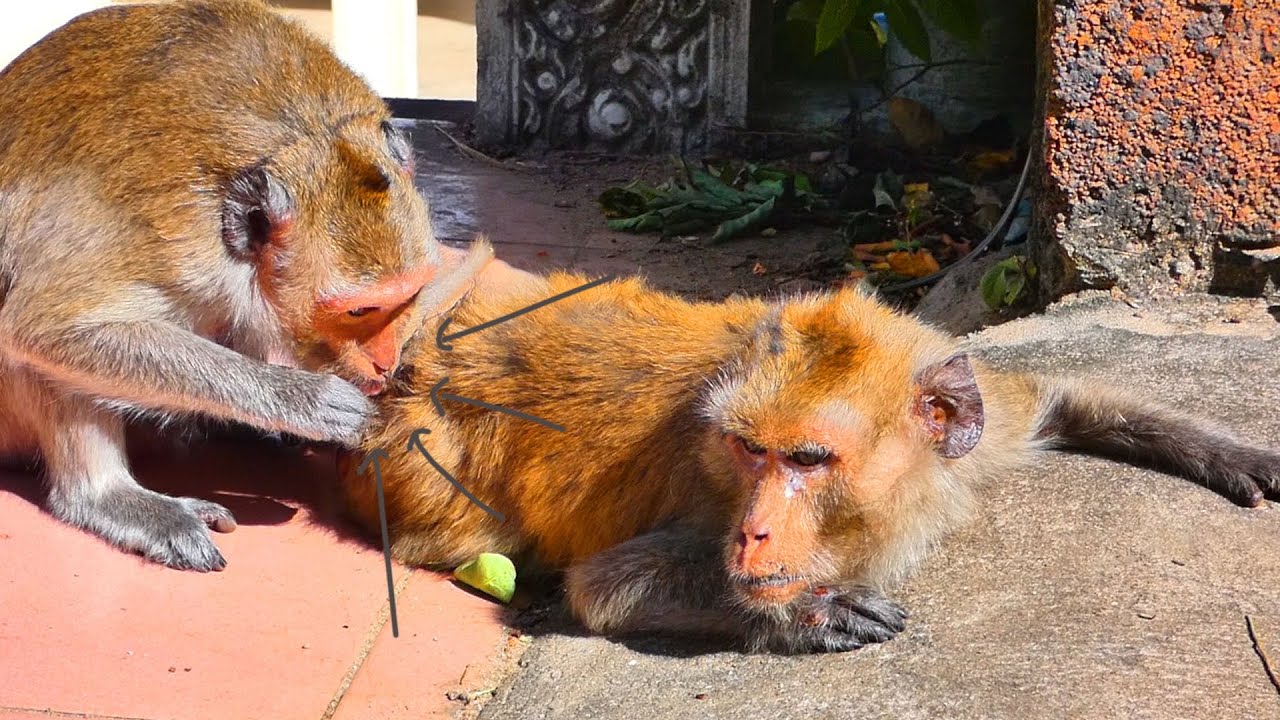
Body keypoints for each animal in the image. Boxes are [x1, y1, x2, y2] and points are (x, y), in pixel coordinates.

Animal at [0, 0, 493, 572]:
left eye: (405, 298)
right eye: (357, 312)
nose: (384, 362)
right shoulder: (175, 240)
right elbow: (45, 328)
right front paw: (303, 400)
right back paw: (105, 496)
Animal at [336, 245, 1279, 654]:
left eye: (809, 462)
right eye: (751, 453)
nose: (755, 533)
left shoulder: (976, 428)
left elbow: (1056, 399)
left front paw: (1230, 453)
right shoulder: (707, 502)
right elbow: (603, 587)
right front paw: (808, 614)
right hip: (423, 468)